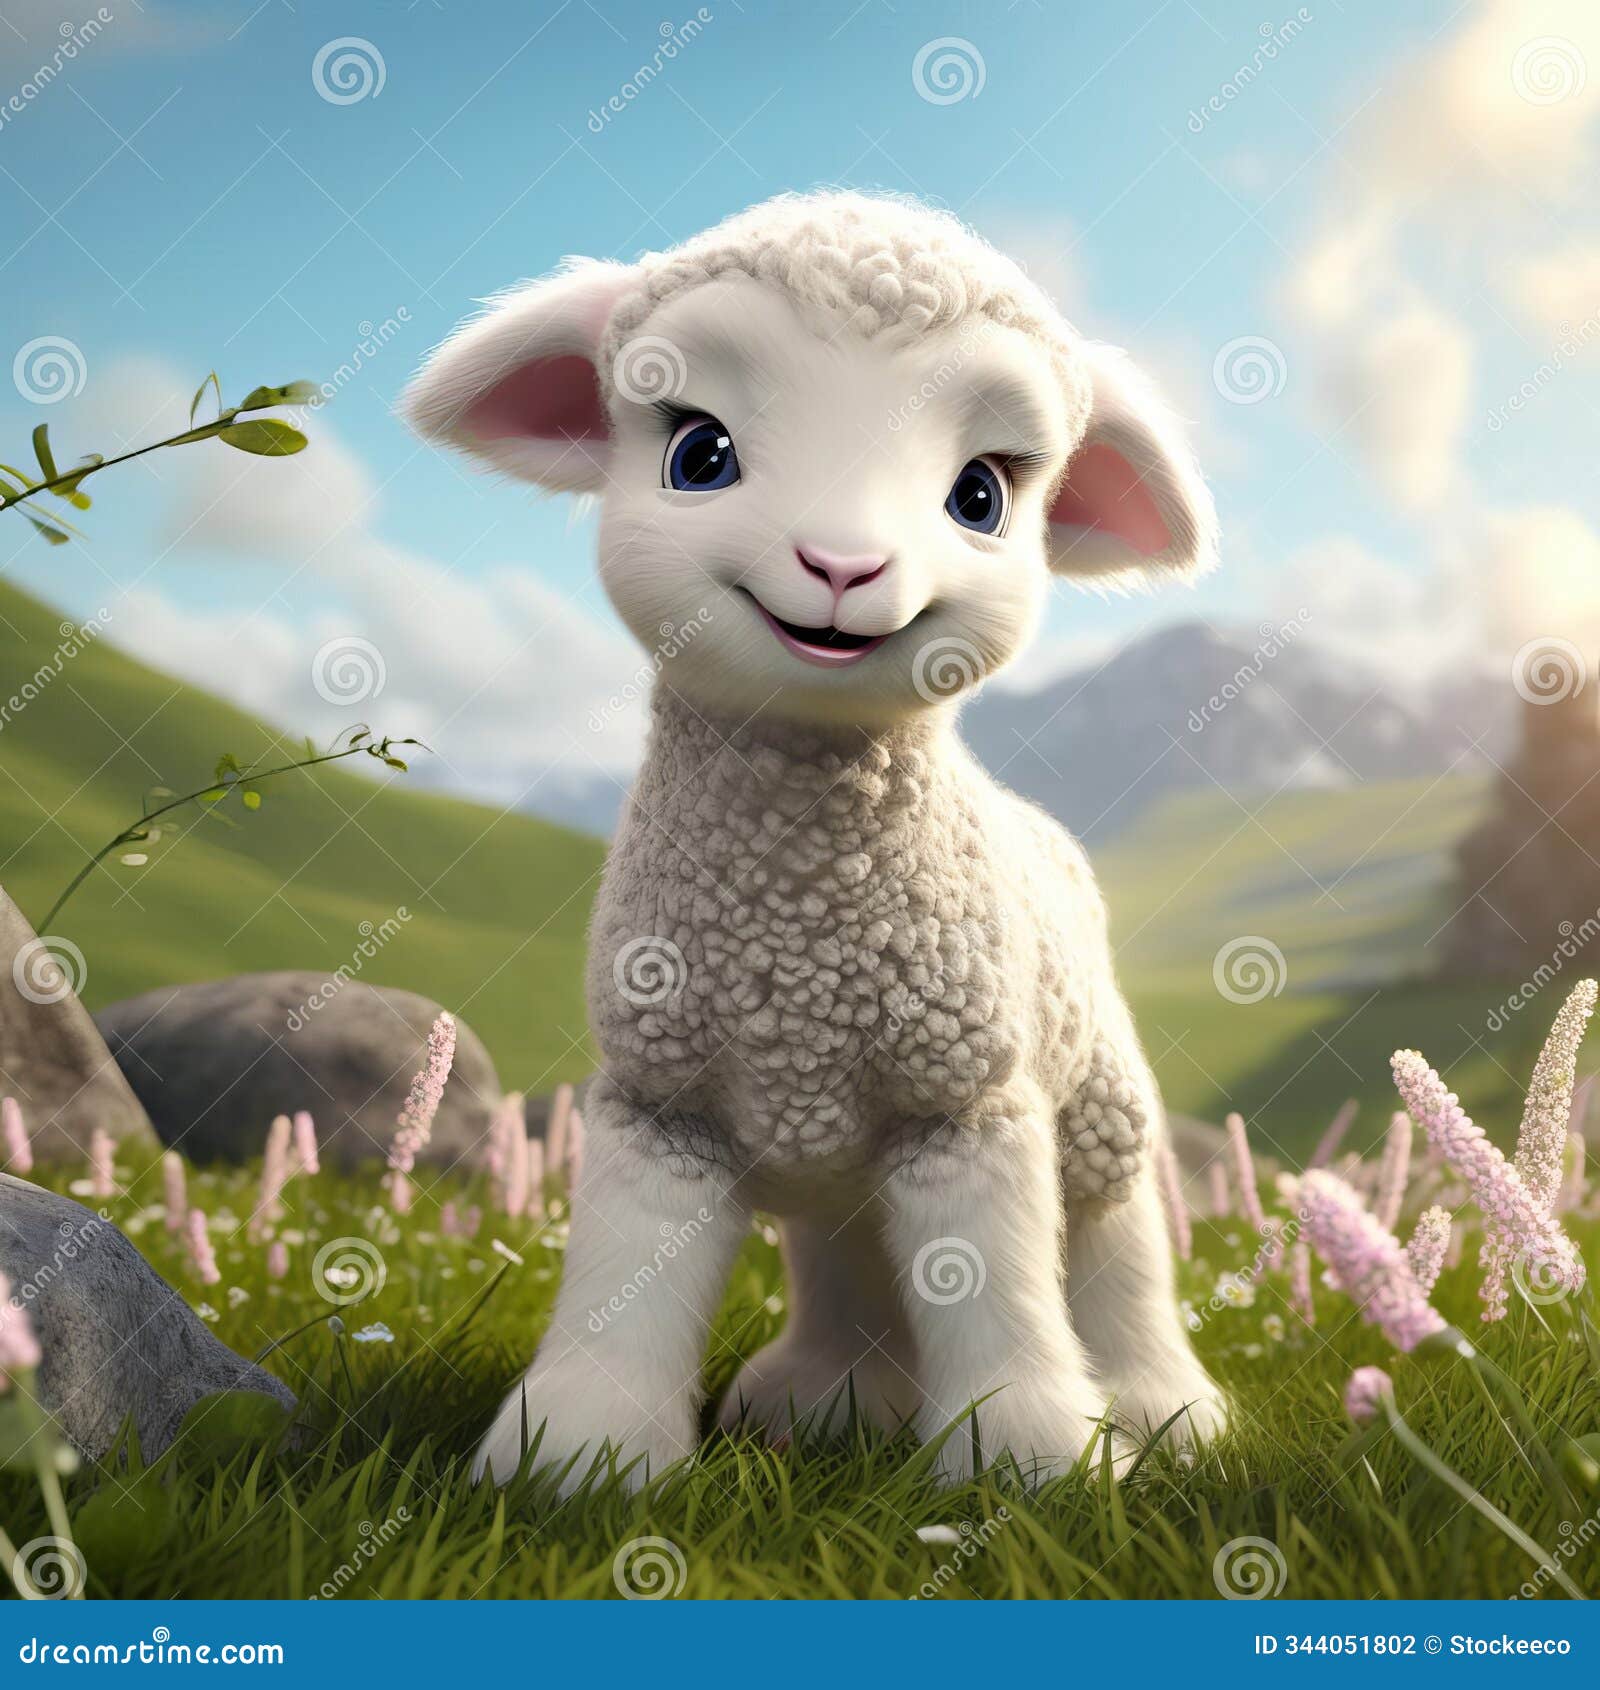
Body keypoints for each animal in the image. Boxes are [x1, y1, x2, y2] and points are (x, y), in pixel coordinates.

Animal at [404, 190, 1225, 1491]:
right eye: (699, 453)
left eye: (981, 495)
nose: (843, 566)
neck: (796, 901)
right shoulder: (658, 1105)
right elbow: (619, 1289)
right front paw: (576, 1458)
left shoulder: (967, 1103)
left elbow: (996, 1285)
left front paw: (1029, 1461)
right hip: (837, 1156)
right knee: (848, 1251)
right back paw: (834, 1402)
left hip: (1092, 1090)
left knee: (1114, 1234)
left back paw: (1162, 1409)